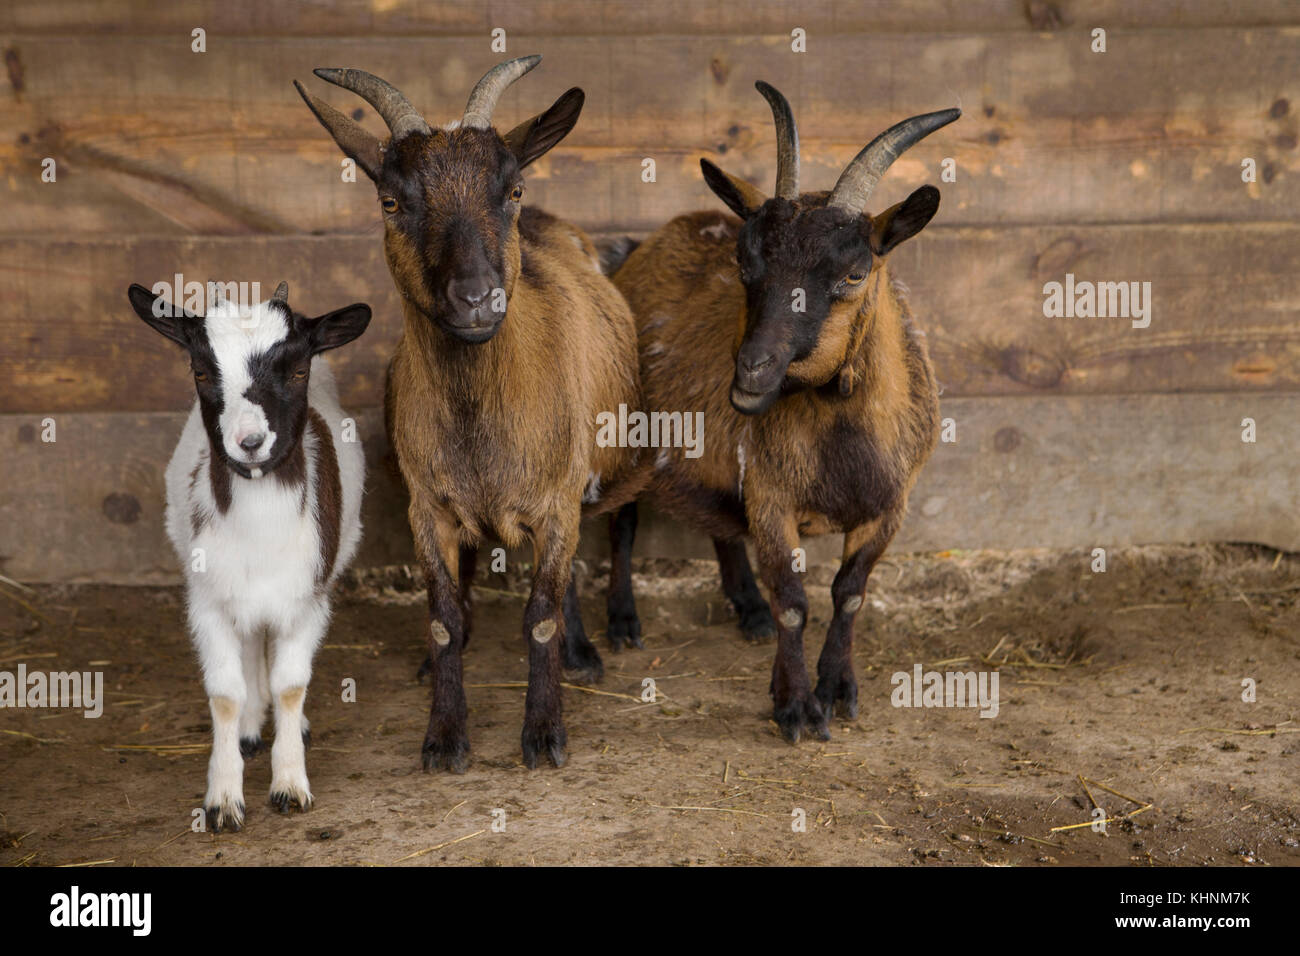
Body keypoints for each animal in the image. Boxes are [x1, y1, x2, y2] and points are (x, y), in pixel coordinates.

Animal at [126, 280, 371, 829]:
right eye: (200, 370)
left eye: (297, 370)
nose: (252, 442)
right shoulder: (209, 601)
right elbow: (224, 694)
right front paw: (222, 798)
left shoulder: (308, 599)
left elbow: (291, 685)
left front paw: (290, 785)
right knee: (252, 646)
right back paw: (251, 728)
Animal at [296, 56, 644, 771]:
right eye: (391, 201)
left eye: (510, 190)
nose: (479, 299)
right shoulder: (427, 508)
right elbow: (442, 616)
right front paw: (445, 735)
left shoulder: (557, 500)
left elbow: (541, 613)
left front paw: (544, 733)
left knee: (606, 537)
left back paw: (596, 643)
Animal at [610, 83, 959, 742]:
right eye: (746, 264)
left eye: (854, 273)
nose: (751, 370)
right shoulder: (774, 501)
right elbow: (794, 601)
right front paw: (796, 706)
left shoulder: (889, 507)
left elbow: (849, 593)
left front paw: (838, 688)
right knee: (617, 522)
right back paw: (612, 630)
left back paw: (746, 609)